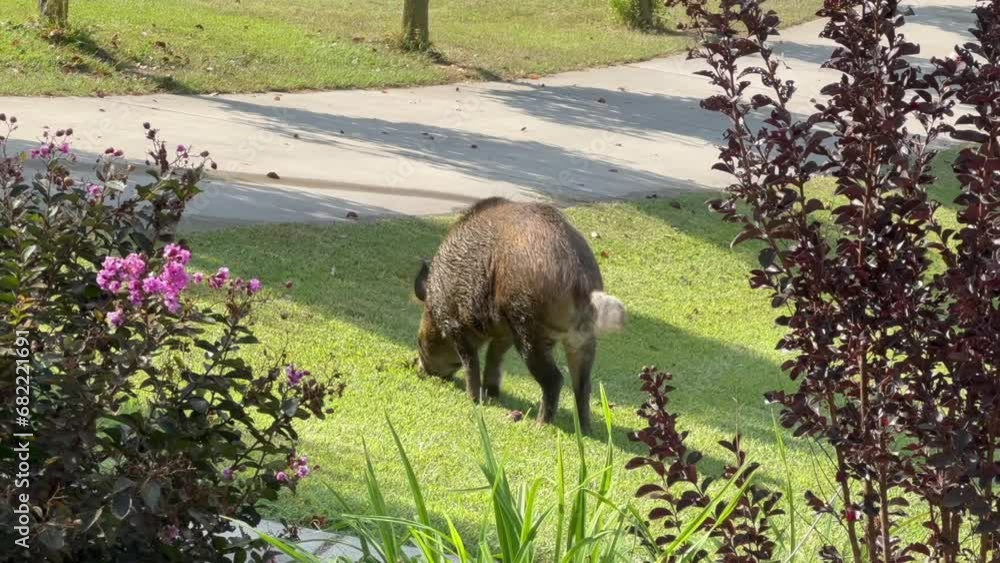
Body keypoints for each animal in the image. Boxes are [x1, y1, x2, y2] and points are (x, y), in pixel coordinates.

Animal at [413, 197, 625, 432]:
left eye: (419, 340)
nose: (417, 366)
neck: (435, 305)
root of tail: (583, 282)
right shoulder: (503, 331)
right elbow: (494, 358)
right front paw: (491, 395)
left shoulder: (457, 325)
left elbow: (471, 362)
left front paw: (474, 400)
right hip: (583, 339)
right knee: (583, 384)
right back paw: (585, 430)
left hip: (530, 329)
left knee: (555, 379)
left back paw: (539, 425)